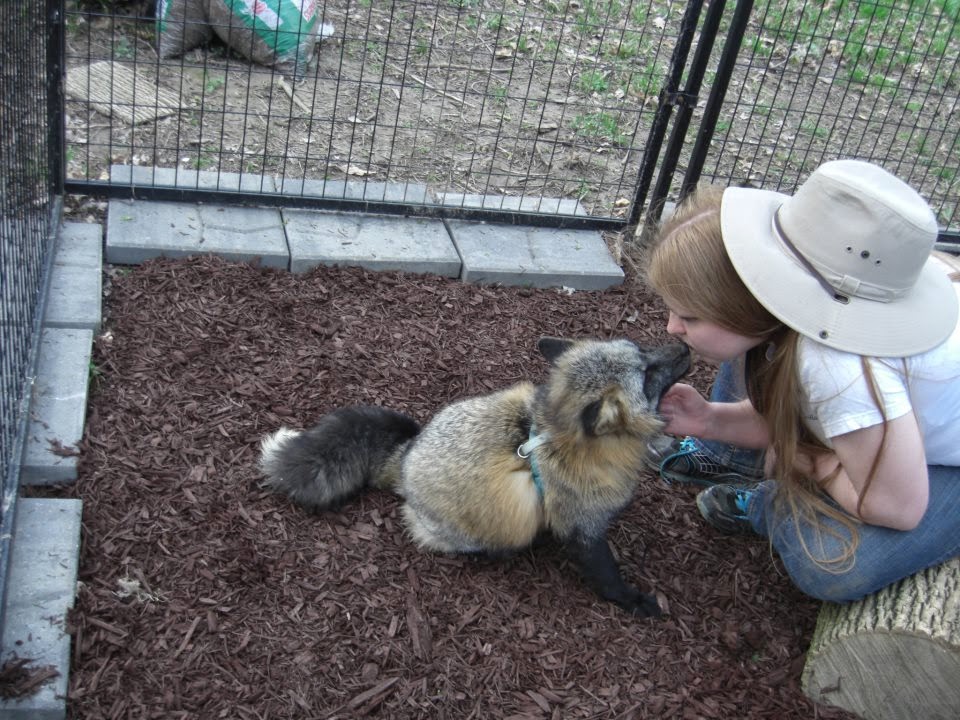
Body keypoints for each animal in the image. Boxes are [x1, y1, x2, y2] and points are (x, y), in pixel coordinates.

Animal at [258, 336, 690, 618]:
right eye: (647, 372)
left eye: (642, 351)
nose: (684, 347)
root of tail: (406, 457)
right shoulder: (583, 526)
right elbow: (608, 578)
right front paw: (635, 602)